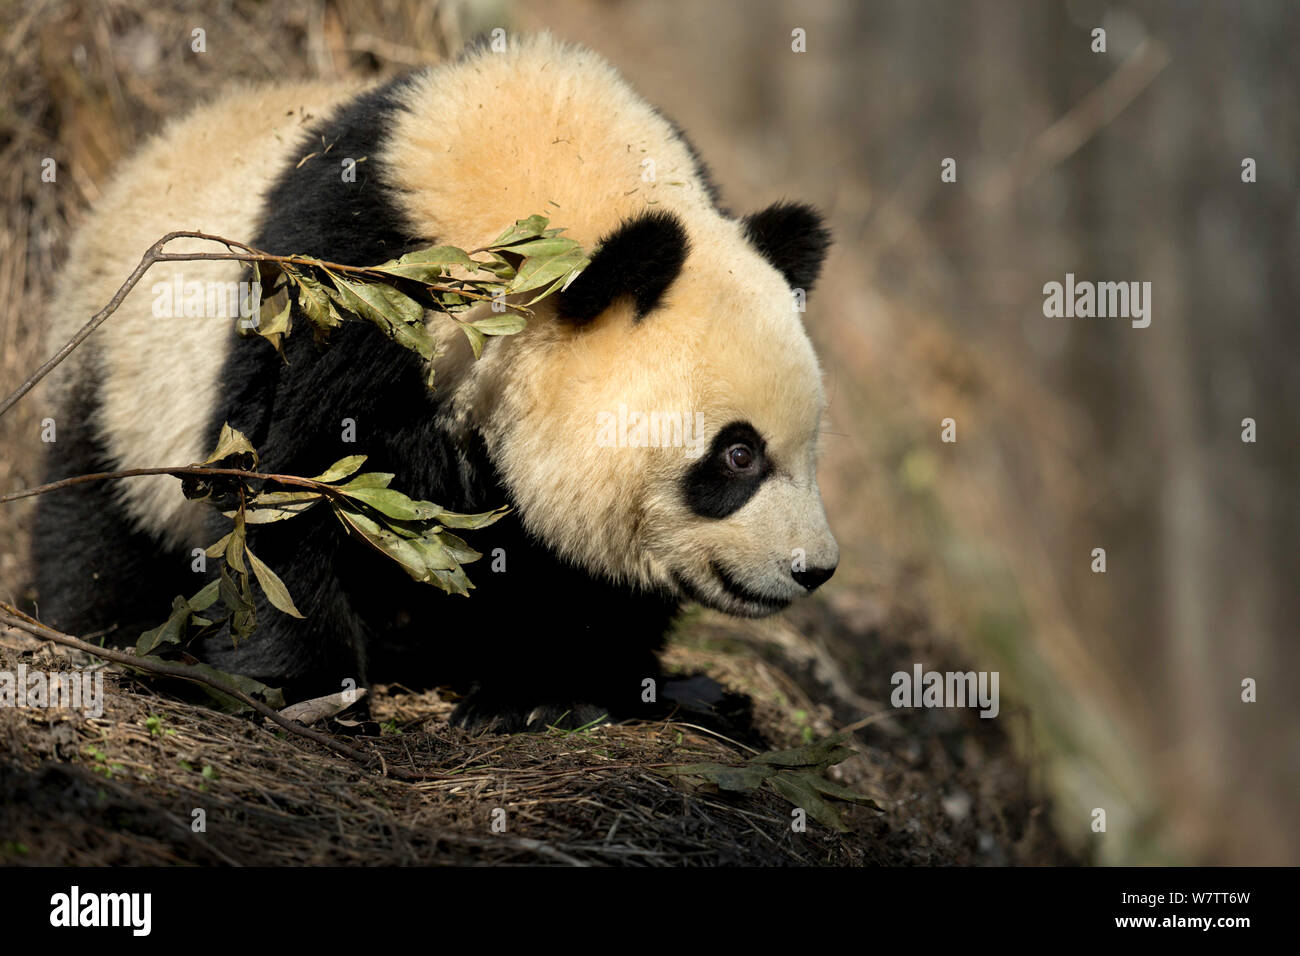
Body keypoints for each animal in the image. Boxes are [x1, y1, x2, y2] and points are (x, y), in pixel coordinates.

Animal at [32, 34, 838, 732]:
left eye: (809, 447)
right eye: (738, 454)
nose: (815, 570)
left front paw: (545, 693)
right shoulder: (350, 286)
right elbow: (286, 474)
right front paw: (304, 689)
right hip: (119, 372)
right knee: (102, 521)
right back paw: (128, 628)